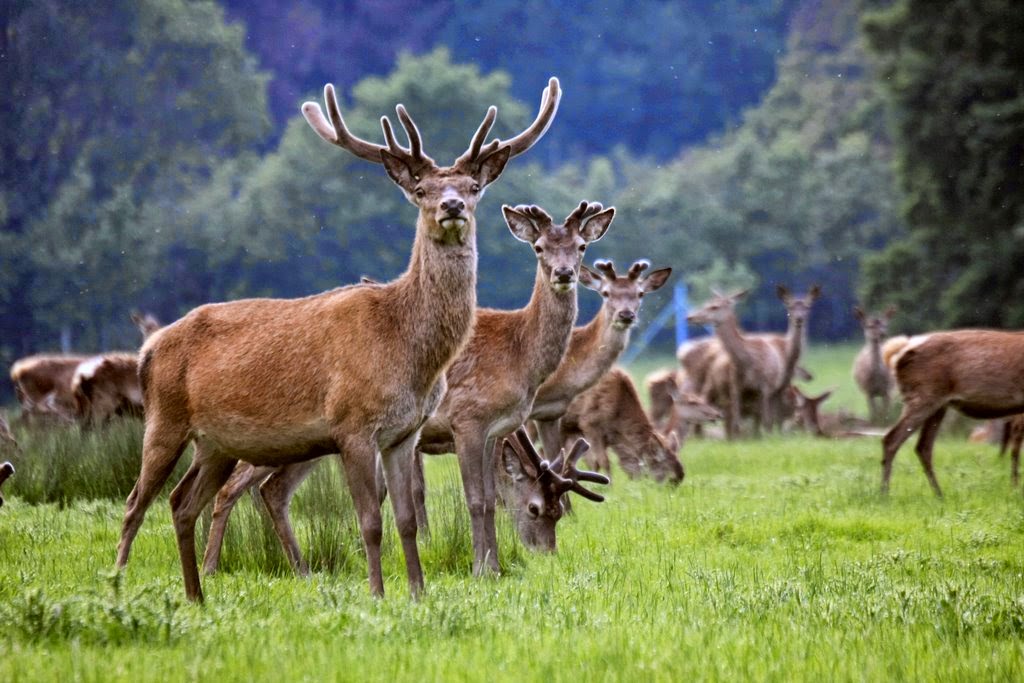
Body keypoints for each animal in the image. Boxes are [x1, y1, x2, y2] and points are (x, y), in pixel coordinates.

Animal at [114, 77, 562, 602]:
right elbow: (370, 521)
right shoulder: (353, 425)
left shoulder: (403, 434)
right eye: (420, 189)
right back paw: (118, 581)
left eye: (473, 188)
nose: (451, 207)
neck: (406, 350)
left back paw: (195, 595)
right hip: (164, 420)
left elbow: (407, 520)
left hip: (217, 444)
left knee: (181, 502)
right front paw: (378, 593)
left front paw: (417, 592)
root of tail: (148, 348)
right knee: (134, 502)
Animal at [880, 330, 1024, 496]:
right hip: (923, 397)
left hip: (938, 405)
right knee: (892, 439)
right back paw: (884, 494)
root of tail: (901, 349)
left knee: (923, 446)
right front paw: (1015, 489)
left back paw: (939, 495)